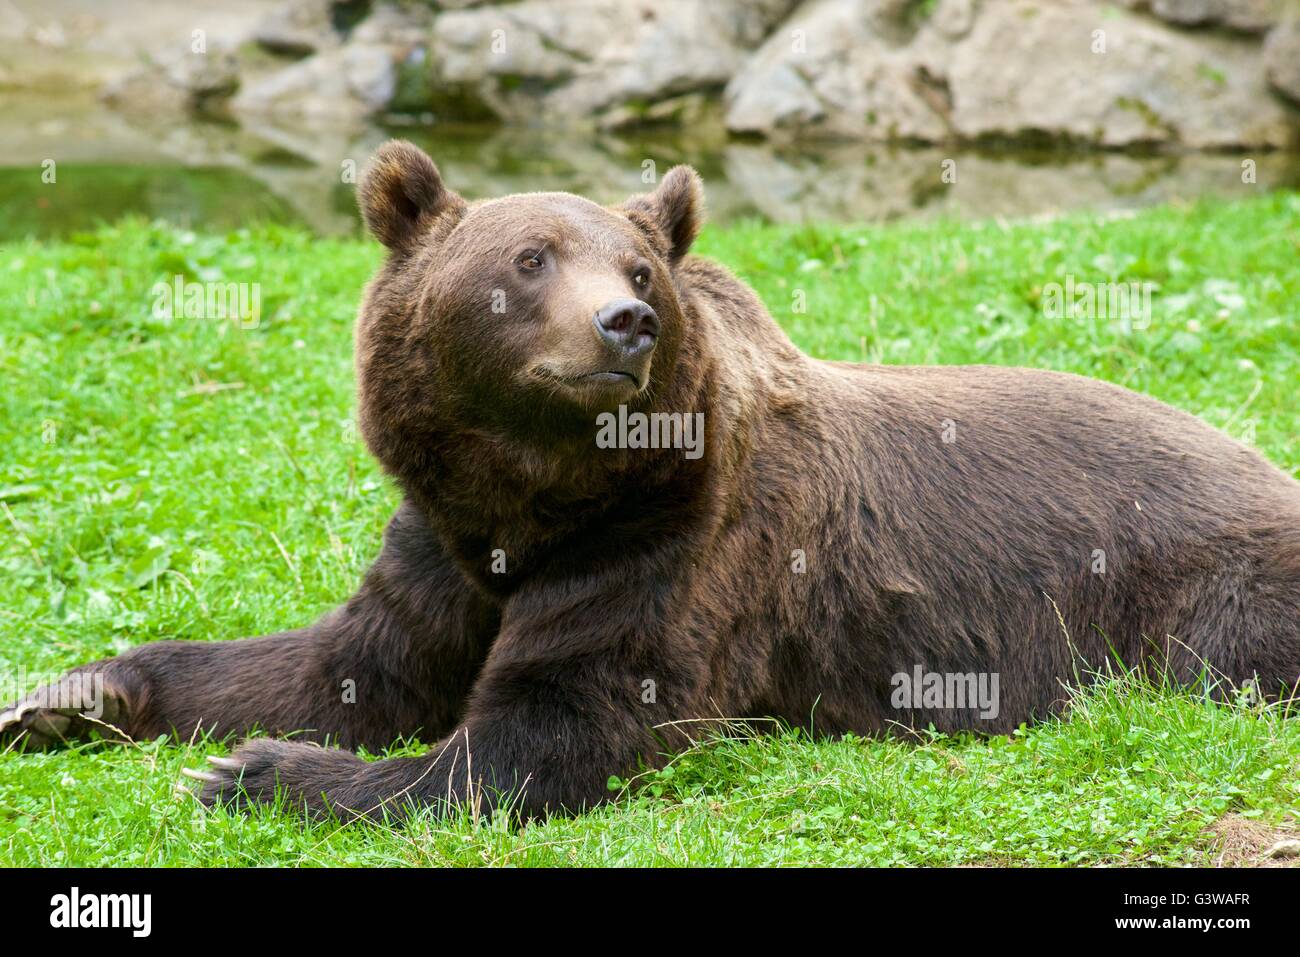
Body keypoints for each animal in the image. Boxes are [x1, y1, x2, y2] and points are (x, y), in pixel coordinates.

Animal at [2, 140, 1298, 822]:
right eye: (529, 258)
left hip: (1209, 586)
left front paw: (260, 771)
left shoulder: (677, 544)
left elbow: (555, 726)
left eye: (635, 268)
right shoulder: (443, 544)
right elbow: (340, 664)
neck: (534, 494)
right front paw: (71, 691)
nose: (621, 322)